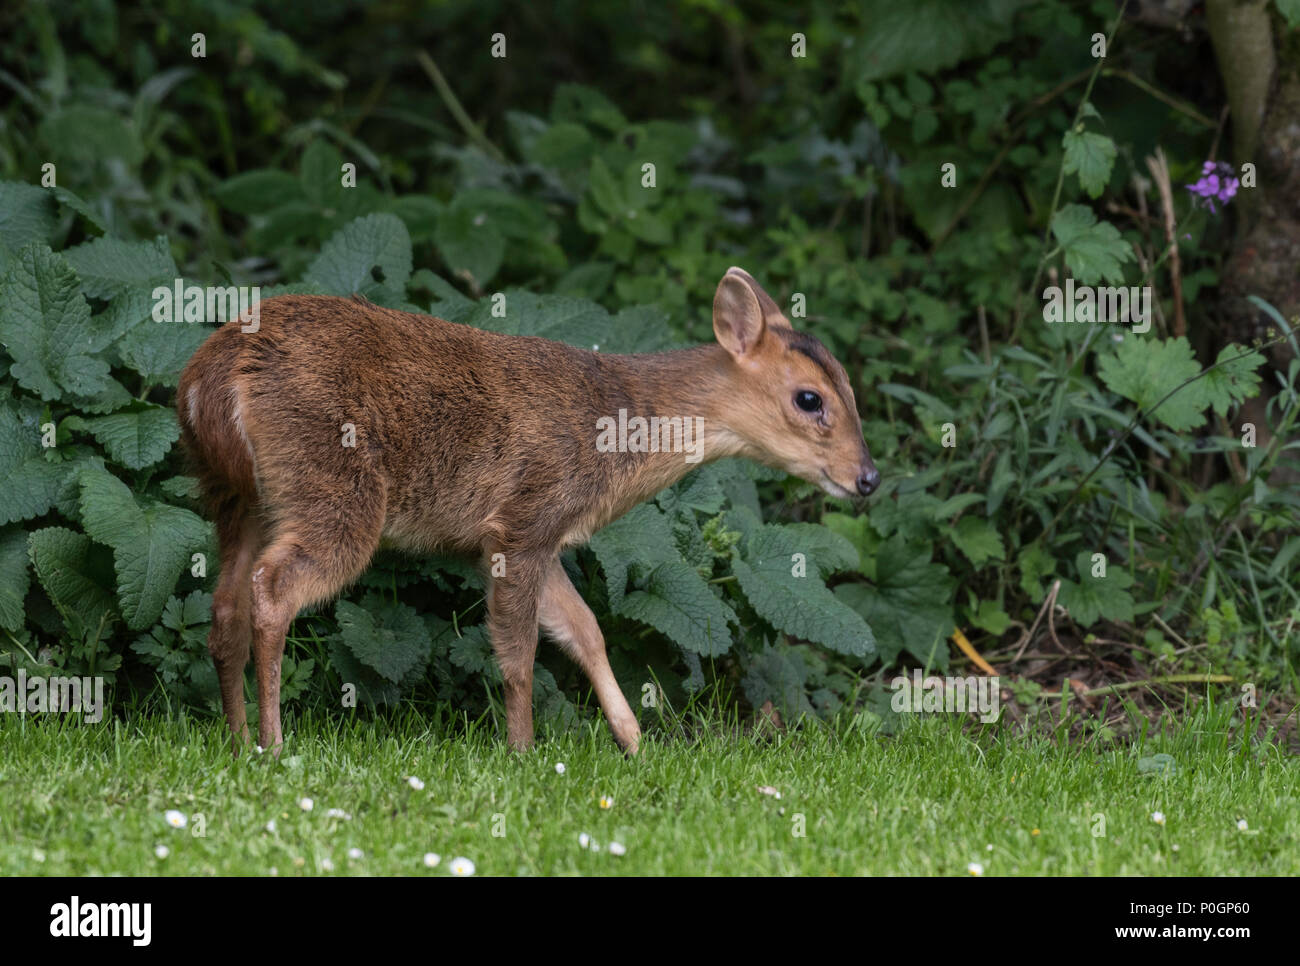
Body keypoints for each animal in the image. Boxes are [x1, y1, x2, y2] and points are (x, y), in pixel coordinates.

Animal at [176, 267, 879, 757]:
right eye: (810, 398)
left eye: (849, 387)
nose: (867, 478)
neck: (617, 433)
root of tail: (208, 381)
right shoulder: (524, 519)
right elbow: (519, 655)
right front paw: (523, 751)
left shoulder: (521, 539)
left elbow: (586, 630)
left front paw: (637, 744)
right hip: (334, 487)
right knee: (273, 590)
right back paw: (273, 743)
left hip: (239, 496)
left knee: (225, 605)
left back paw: (236, 738)